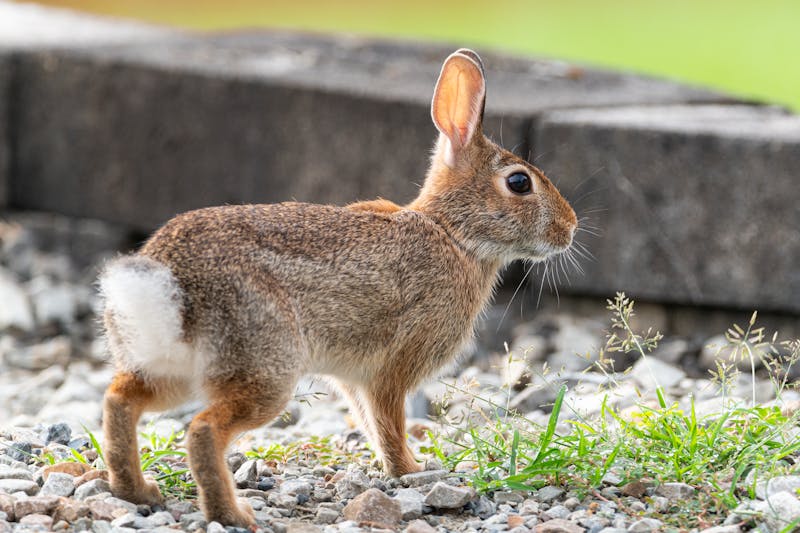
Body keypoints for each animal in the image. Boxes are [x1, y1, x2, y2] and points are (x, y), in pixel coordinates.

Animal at [99, 48, 577, 527]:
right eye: (519, 182)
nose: (570, 228)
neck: (453, 233)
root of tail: (165, 280)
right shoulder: (393, 368)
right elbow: (388, 424)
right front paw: (412, 470)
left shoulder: (353, 378)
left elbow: (368, 423)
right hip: (263, 366)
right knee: (202, 429)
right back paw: (234, 514)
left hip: (170, 367)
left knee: (119, 400)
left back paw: (138, 491)